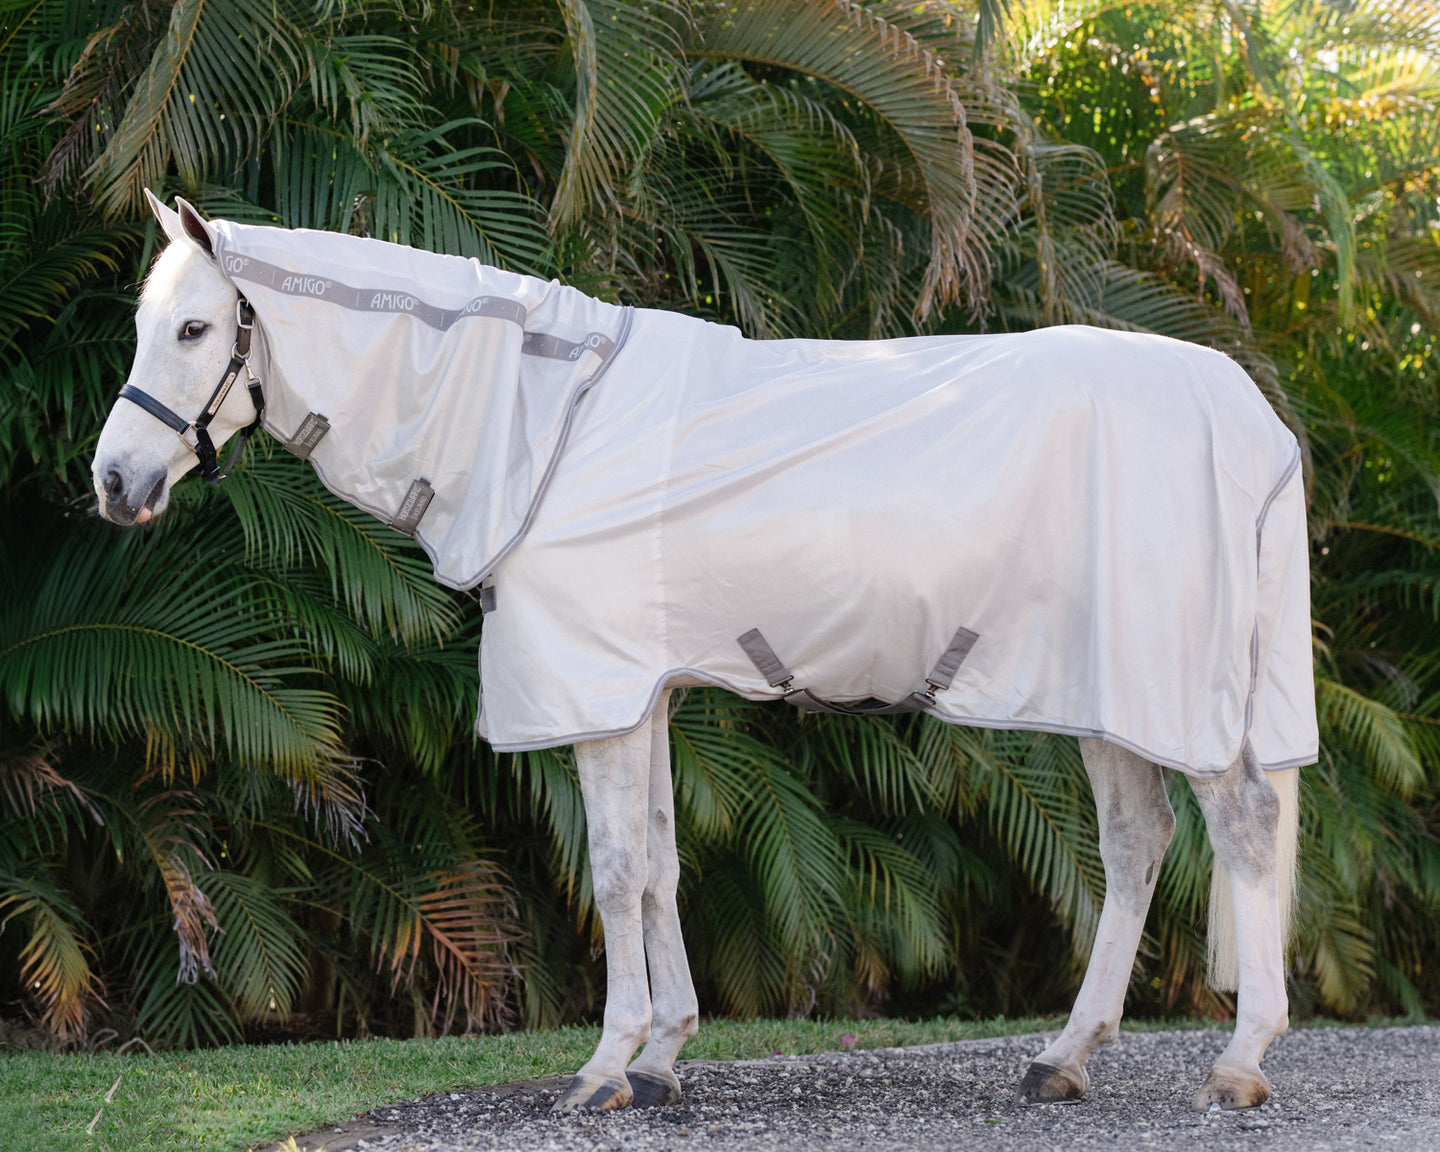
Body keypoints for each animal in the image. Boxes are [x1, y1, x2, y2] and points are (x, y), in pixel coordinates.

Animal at [93, 192, 1315, 1114]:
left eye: (195, 329)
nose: (112, 482)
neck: (541, 422)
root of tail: (1253, 419)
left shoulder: (594, 694)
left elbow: (615, 868)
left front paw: (604, 1066)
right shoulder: (645, 695)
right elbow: (662, 863)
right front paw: (668, 1053)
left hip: (1172, 690)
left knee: (1243, 826)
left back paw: (1241, 1061)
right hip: (1108, 692)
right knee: (1140, 843)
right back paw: (1065, 1056)